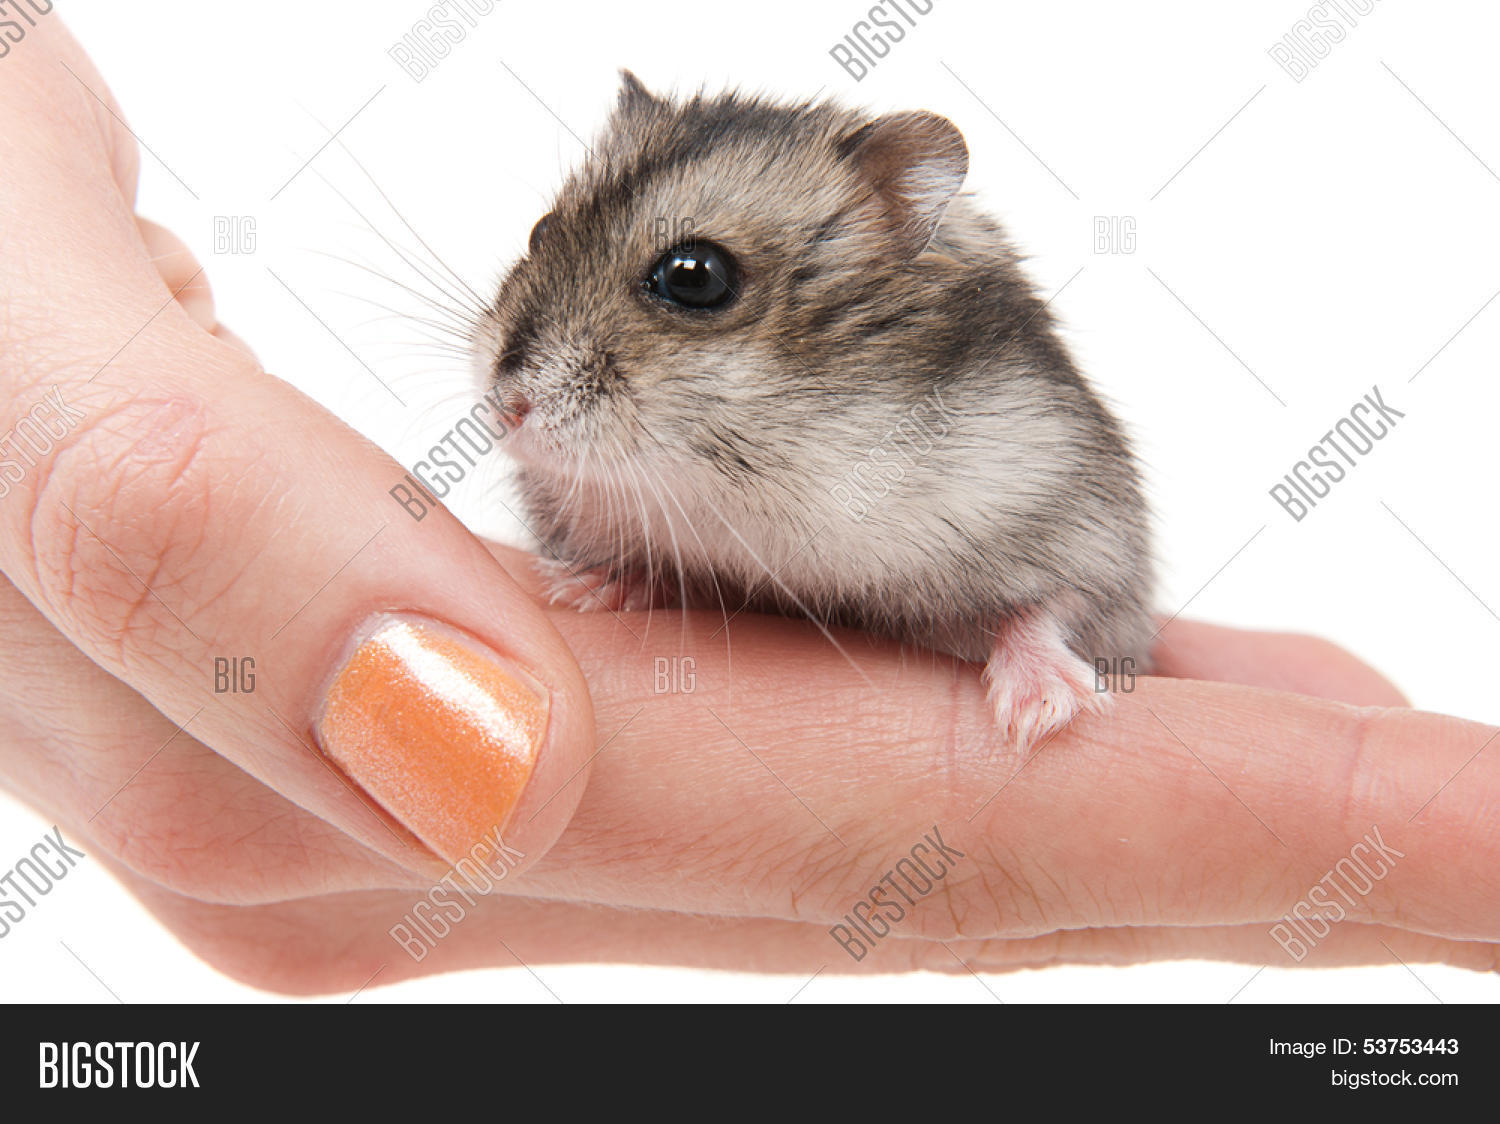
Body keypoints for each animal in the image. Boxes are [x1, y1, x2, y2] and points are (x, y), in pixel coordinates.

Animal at [471, 71, 1155, 748]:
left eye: (695, 274)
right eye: (539, 232)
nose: (506, 410)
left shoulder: (1075, 516)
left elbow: (1054, 604)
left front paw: (1046, 709)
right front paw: (583, 587)